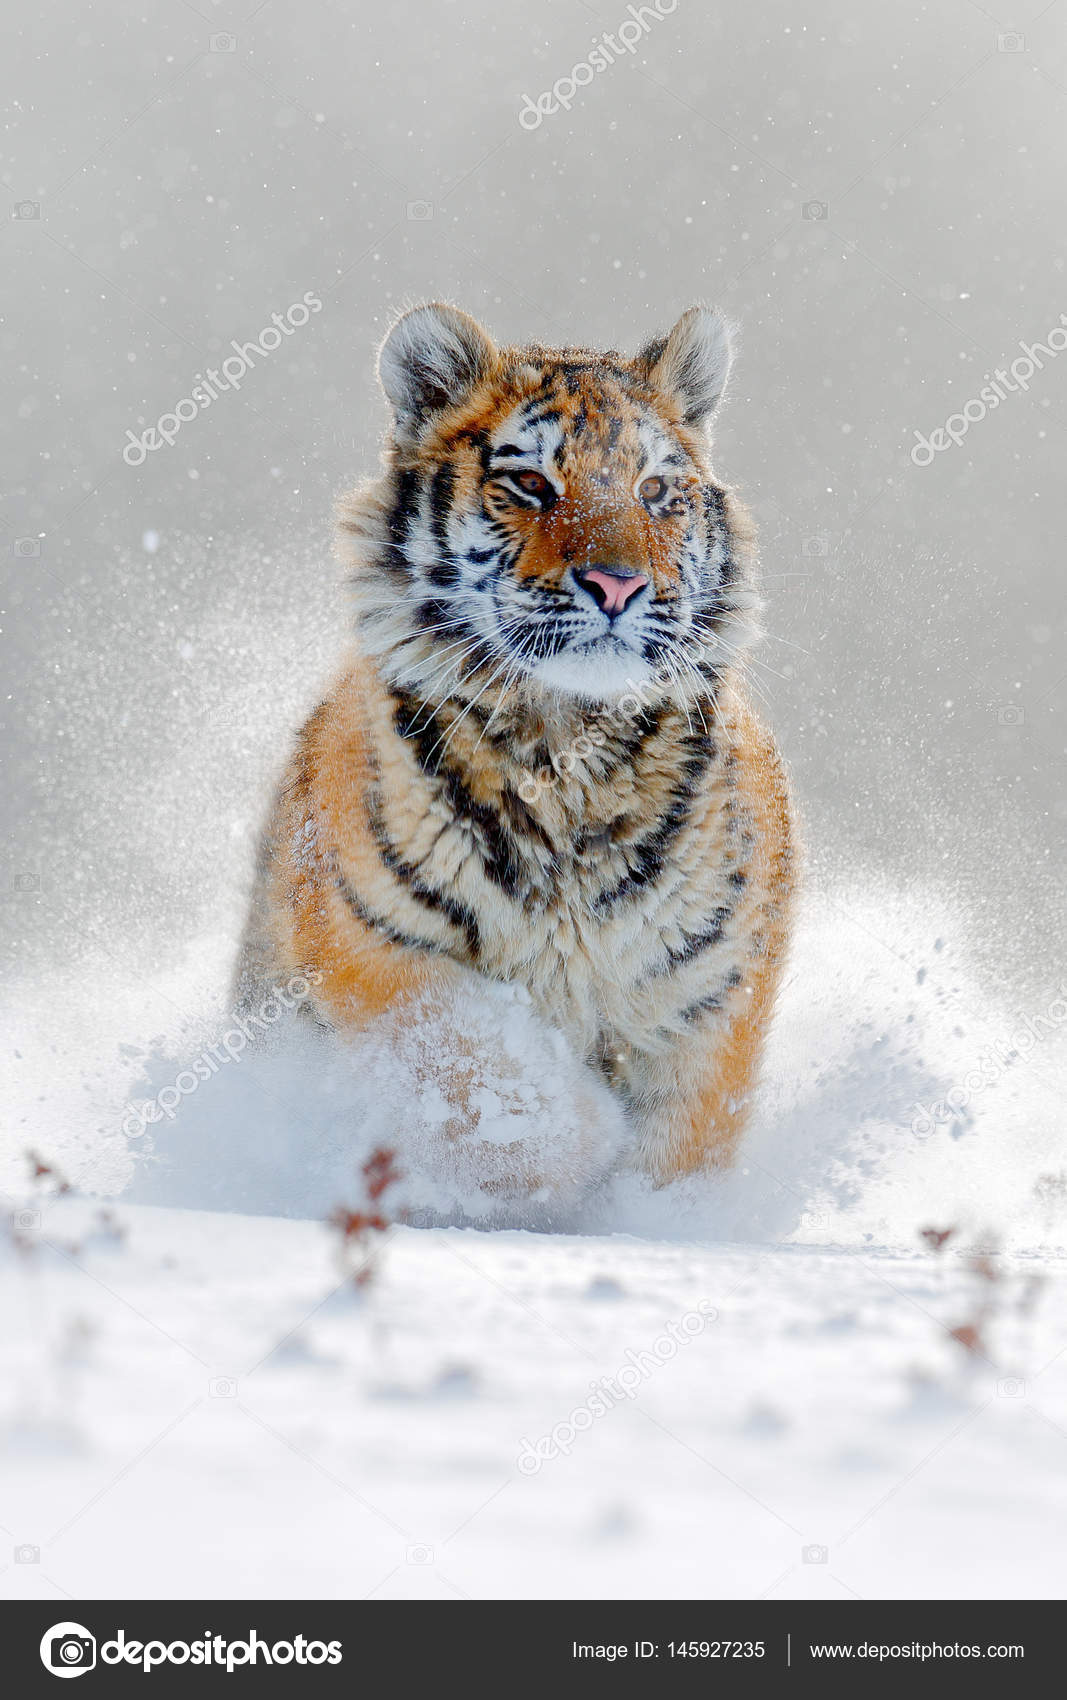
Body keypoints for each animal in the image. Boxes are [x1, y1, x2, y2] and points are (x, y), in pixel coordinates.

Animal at [234, 301, 795, 1204]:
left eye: (653, 490)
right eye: (530, 484)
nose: (616, 584)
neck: (567, 747)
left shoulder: (711, 987)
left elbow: (685, 1139)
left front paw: (655, 1216)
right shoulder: (370, 946)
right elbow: (484, 1072)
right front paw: (582, 1139)